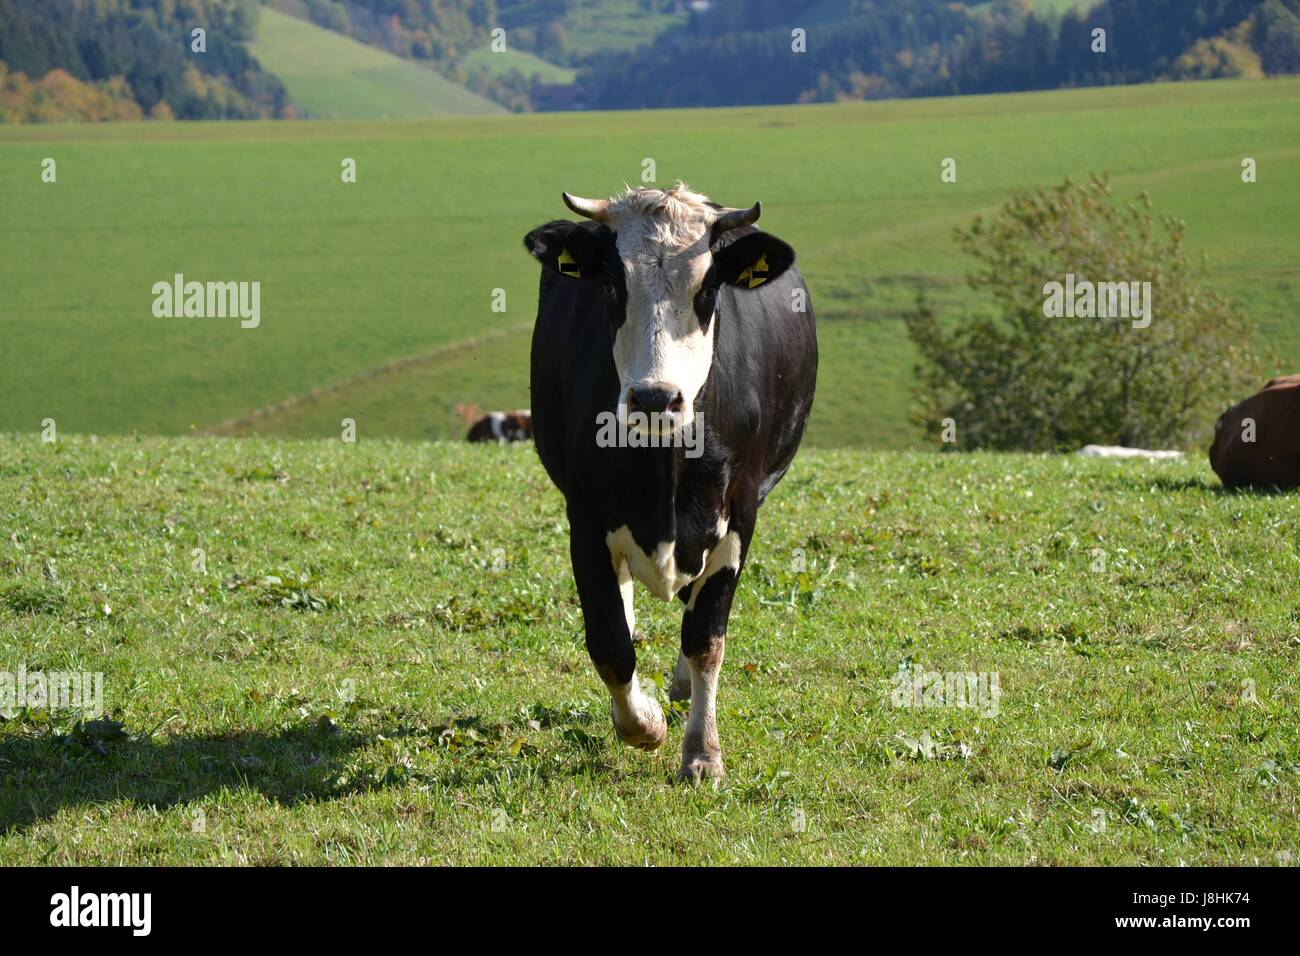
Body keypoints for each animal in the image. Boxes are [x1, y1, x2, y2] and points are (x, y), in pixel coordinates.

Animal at [524, 183, 817, 782]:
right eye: (613, 285)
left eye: (707, 288)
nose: (656, 397)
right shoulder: (585, 519)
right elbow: (609, 640)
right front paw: (643, 724)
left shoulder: (739, 518)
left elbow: (706, 638)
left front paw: (703, 752)